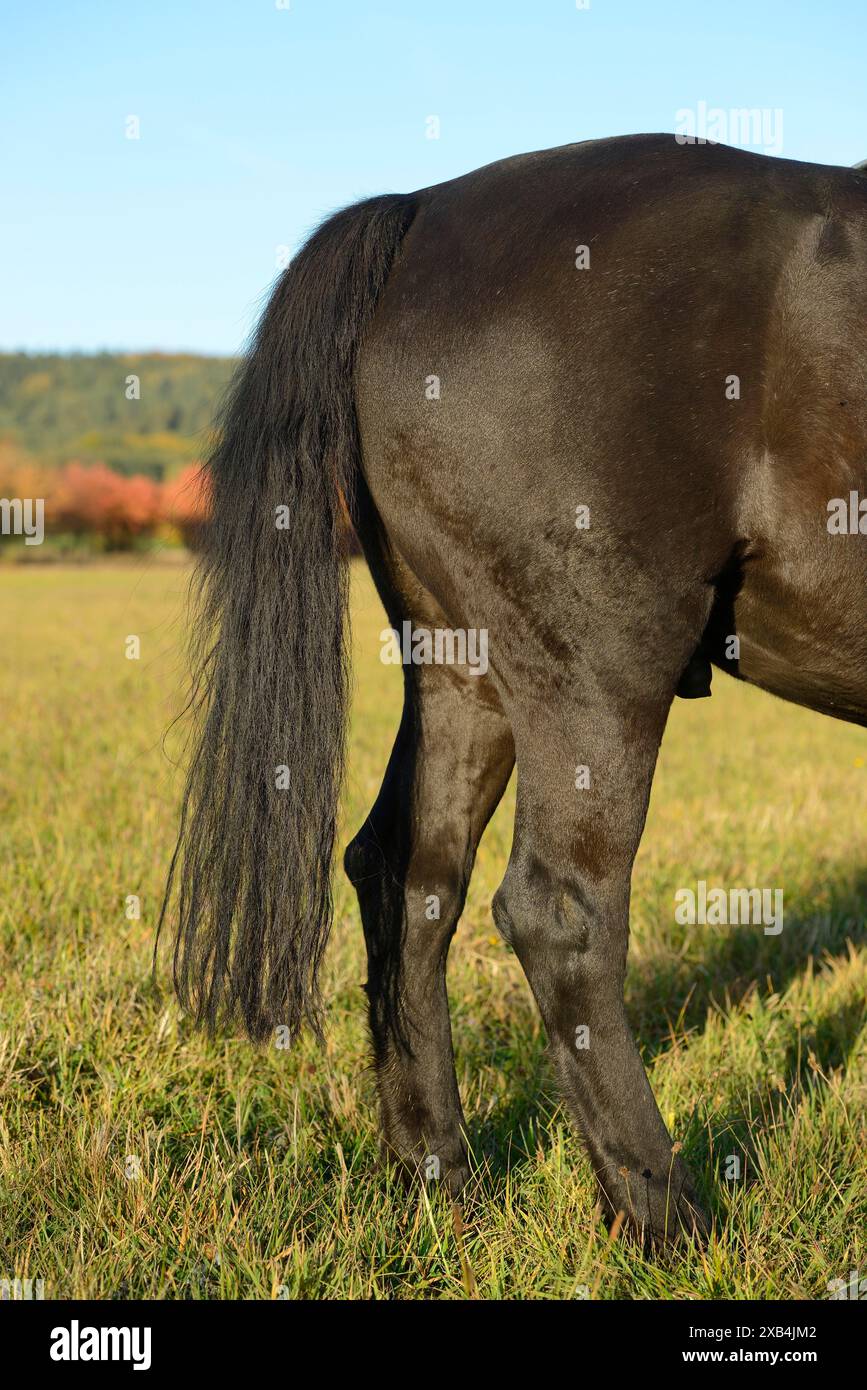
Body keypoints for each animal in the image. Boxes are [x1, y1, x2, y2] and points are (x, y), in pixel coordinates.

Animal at [160, 133, 867, 1246]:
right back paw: (666, 1218)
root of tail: (417, 211)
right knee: (558, 912)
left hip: (467, 678)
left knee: (406, 877)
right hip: (593, 675)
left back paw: (441, 1181)